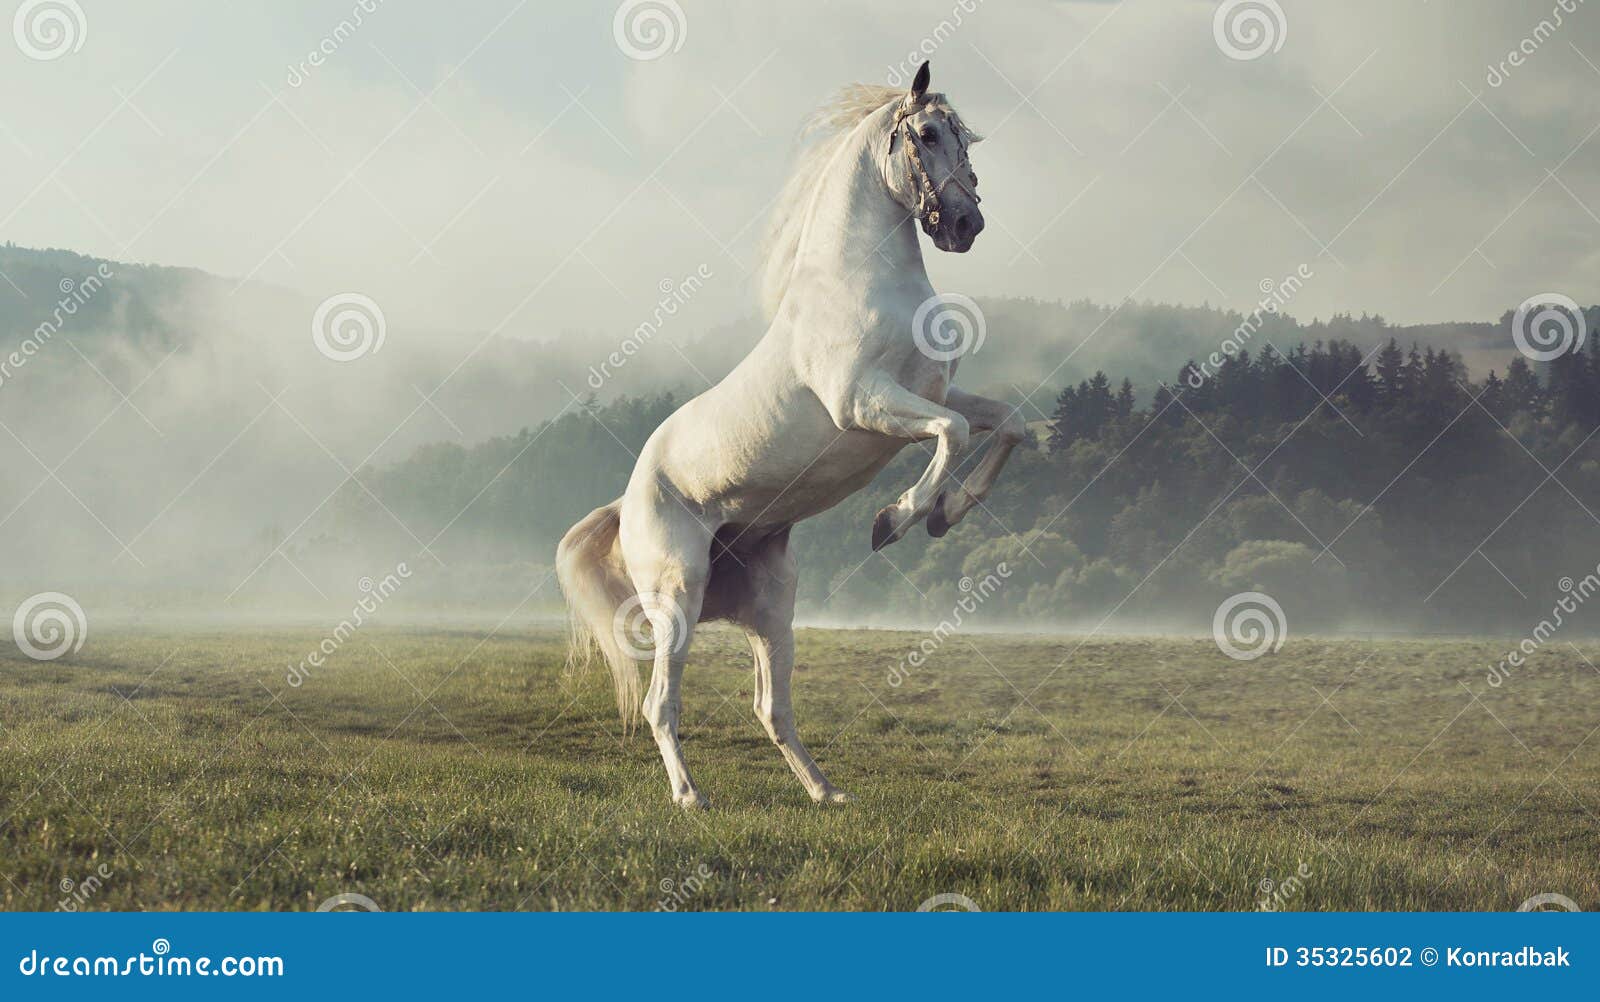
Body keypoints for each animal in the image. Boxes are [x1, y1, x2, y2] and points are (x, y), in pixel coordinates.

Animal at [557, 62, 1025, 808]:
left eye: (966, 138)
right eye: (927, 134)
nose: (965, 224)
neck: (861, 282)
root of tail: (626, 501)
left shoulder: (930, 396)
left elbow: (1009, 424)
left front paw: (946, 514)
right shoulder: (866, 404)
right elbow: (953, 435)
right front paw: (897, 519)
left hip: (772, 607)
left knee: (770, 707)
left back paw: (826, 792)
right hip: (677, 599)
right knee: (662, 701)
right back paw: (691, 797)